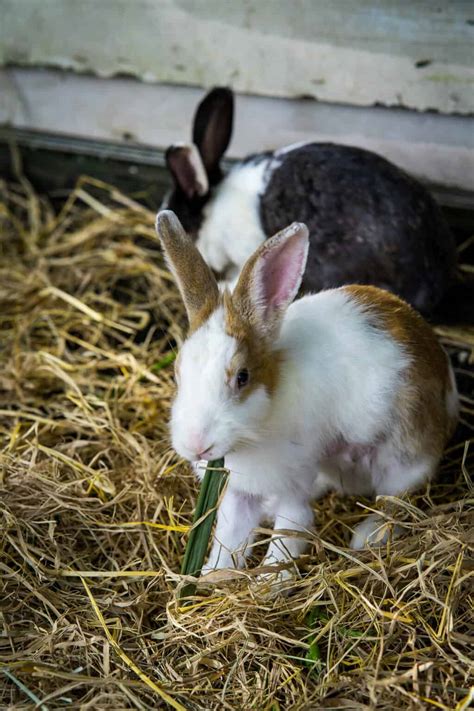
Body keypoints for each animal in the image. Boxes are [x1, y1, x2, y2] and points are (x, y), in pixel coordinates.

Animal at [155, 210, 459, 577]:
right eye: (177, 372)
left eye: (242, 377)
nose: (196, 444)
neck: (255, 432)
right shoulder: (241, 493)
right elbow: (230, 537)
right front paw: (214, 577)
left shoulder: (291, 486)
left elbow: (290, 534)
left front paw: (269, 581)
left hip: (404, 453)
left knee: (398, 498)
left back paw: (368, 535)